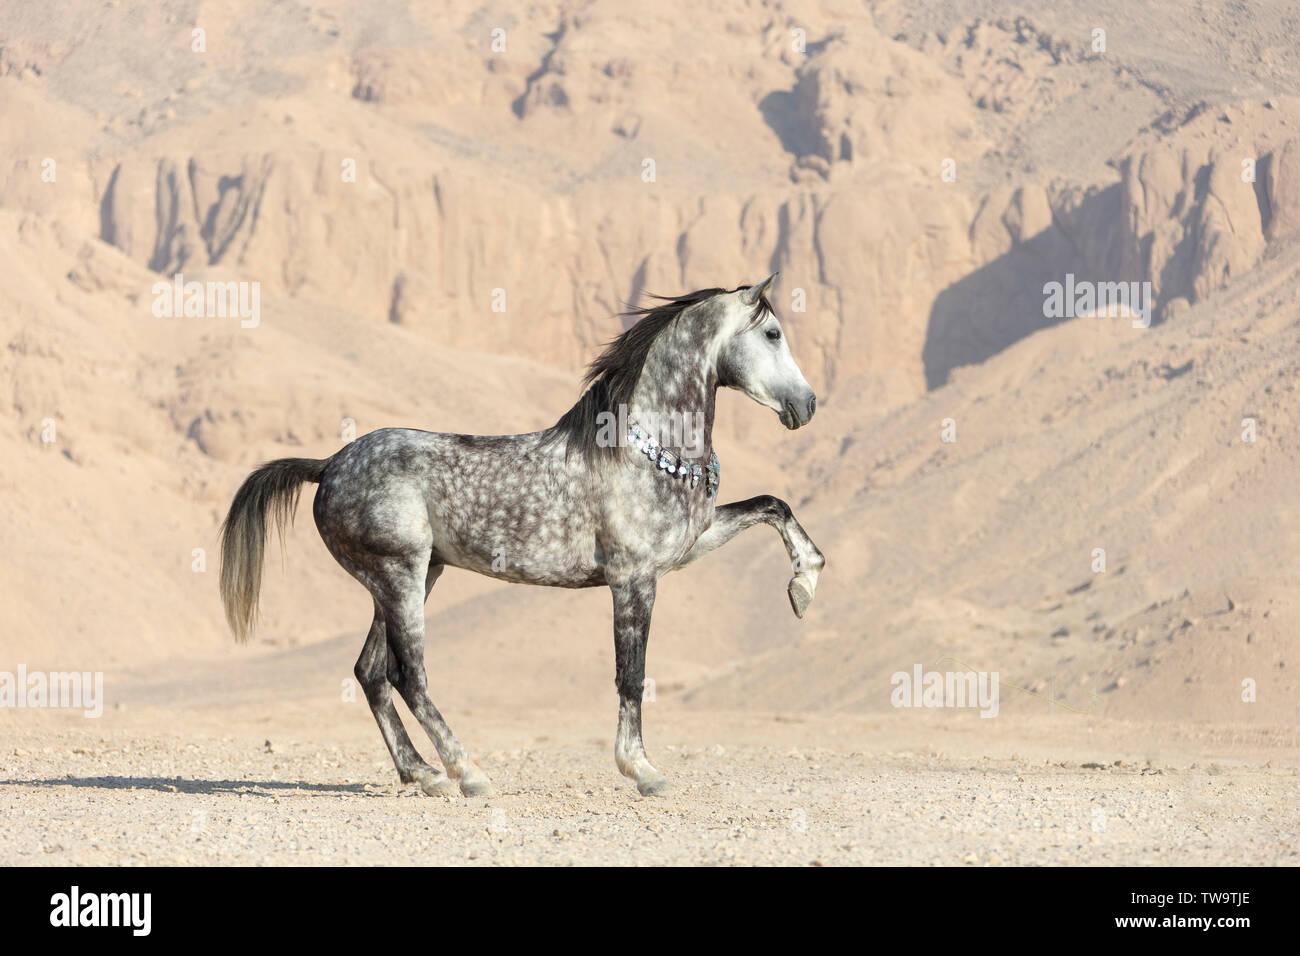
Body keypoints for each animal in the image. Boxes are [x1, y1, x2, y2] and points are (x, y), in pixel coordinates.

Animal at [219, 275, 825, 796]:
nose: (808, 403)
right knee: (407, 675)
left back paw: (424, 775)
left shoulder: (687, 546)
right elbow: (632, 675)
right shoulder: (633, 580)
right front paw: (643, 770)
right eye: (772, 333)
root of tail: (328, 465)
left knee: (370, 673)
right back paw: (468, 773)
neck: (640, 449)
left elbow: (773, 506)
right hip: (399, 576)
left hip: (408, 578)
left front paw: (803, 587)